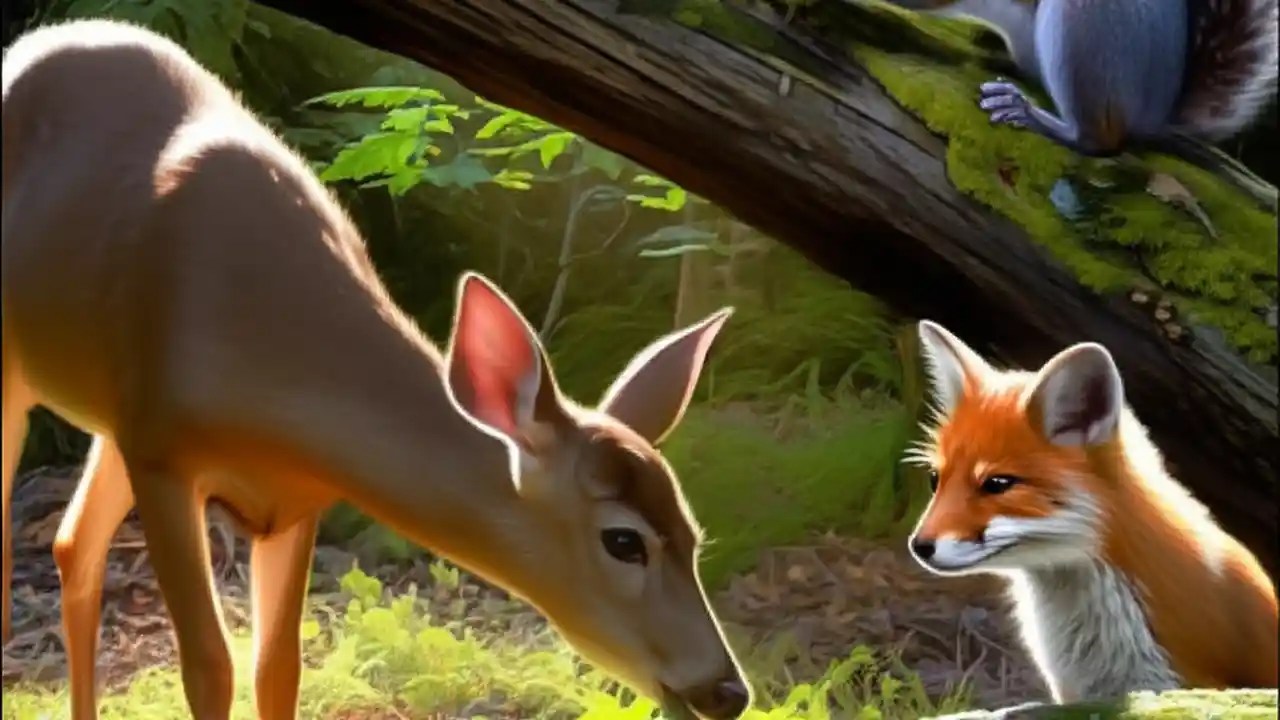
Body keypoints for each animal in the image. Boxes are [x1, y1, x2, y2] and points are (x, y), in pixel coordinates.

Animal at [1, 19, 751, 720]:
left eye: (693, 529)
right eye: (624, 541)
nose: (729, 688)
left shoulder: (289, 498)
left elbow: (279, 666)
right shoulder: (162, 454)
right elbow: (210, 666)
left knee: (73, 543)